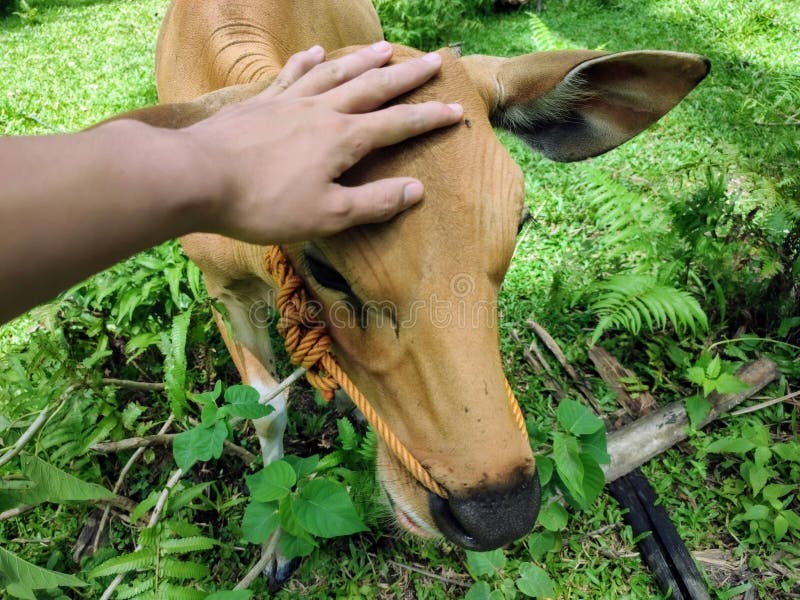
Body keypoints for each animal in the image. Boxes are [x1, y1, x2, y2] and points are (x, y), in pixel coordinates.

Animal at [117, 0, 708, 580]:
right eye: (326, 268)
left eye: (518, 226)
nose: (497, 515)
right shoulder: (222, 289)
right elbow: (265, 410)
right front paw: (277, 549)